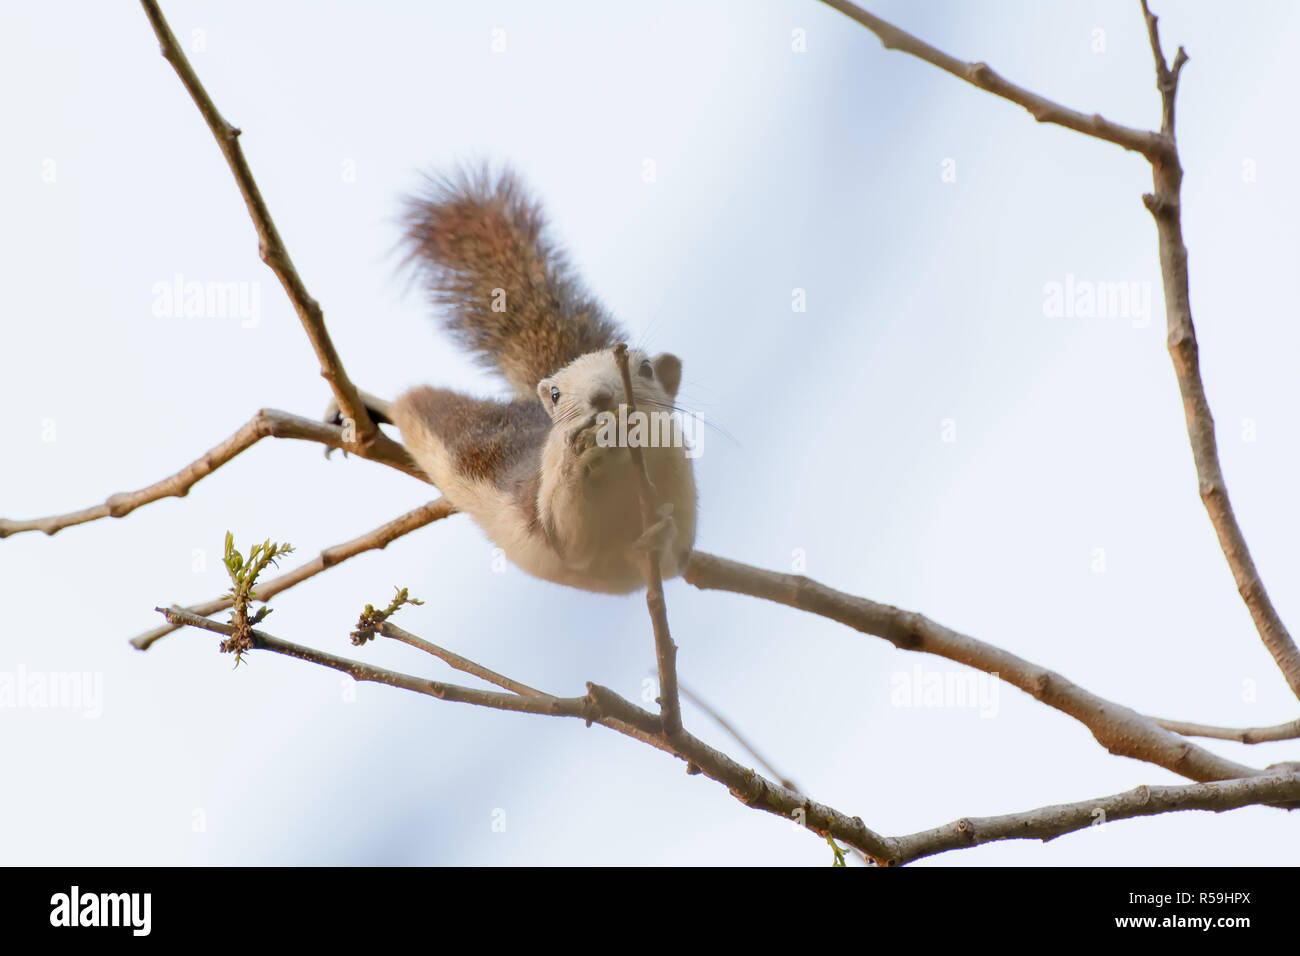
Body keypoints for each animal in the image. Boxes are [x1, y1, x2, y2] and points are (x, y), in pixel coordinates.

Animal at [347, 167, 697, 594]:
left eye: (646, 369)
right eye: (558, 394)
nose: (600, 398)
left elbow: (675, 558)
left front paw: (662, 533)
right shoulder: (541, 503)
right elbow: (568, 540)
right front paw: (576, 455)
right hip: (453, 424)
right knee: (417, 401)